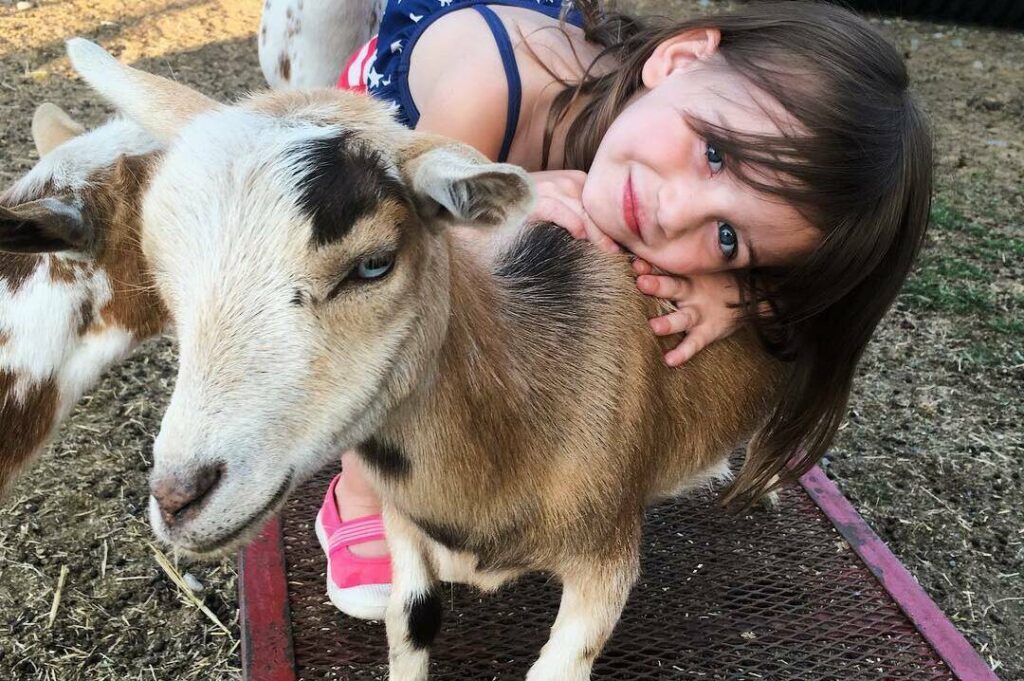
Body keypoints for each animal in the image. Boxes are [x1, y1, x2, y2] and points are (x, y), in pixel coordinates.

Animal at [60, 40, 784, 681]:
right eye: (162, 270)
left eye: (373, 263)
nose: (178, 497)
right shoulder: (404, 533)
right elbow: (409, 626)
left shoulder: (605, 561)